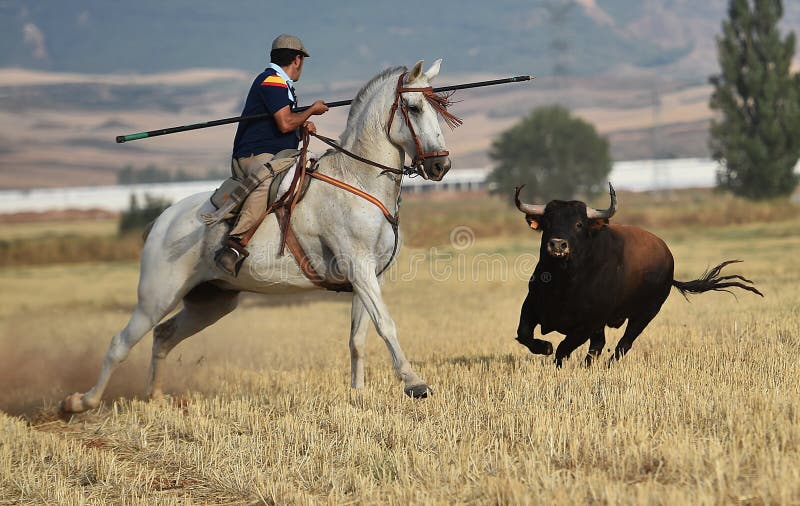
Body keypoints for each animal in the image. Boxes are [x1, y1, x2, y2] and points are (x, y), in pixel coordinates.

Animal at [513, 184, 763, 367]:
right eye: (548, 223)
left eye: (578, 224)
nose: (557, 244)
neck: (563, 284)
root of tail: (668, 258)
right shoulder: (531, 306)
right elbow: (524, 334)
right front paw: (544, 346)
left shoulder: (589, 323)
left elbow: (564, 348)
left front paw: (552, 353)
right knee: (601, 345)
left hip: (645, 314)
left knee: (623, 345)